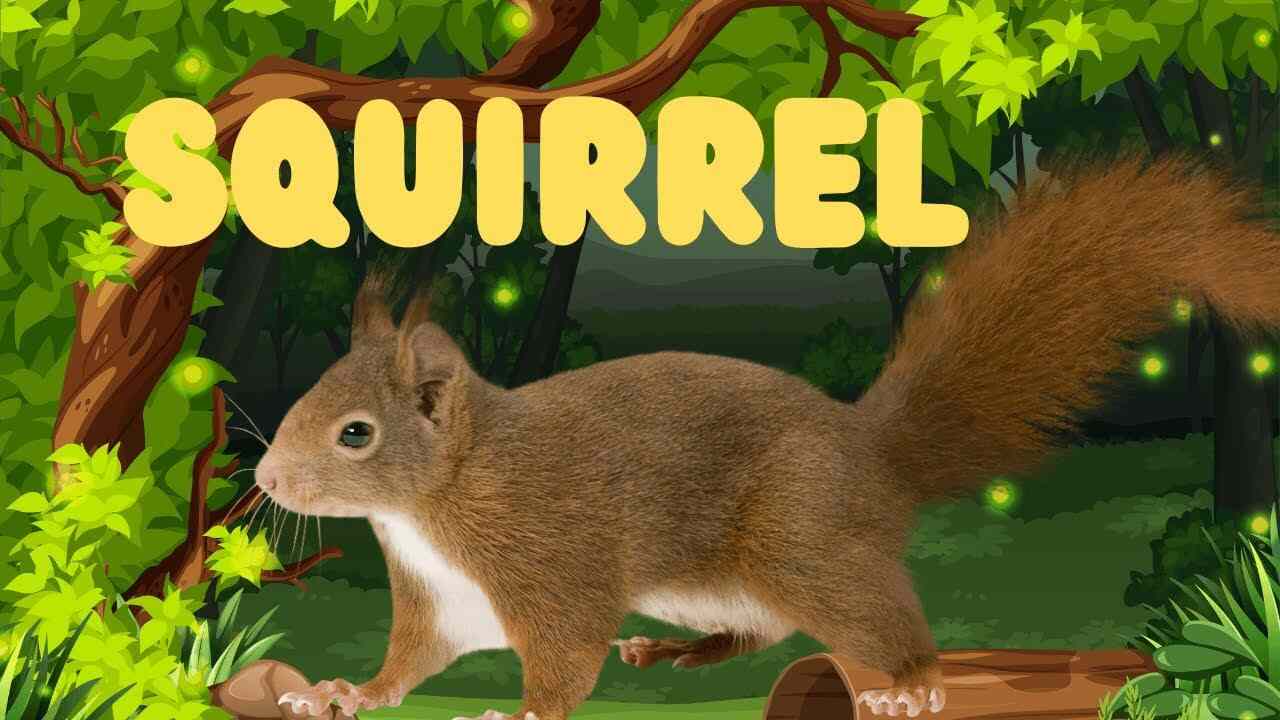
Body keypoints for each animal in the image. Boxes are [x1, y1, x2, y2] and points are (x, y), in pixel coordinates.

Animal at [258, 154, 1280, 720]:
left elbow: (566, 654)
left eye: (356, 434)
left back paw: (912, 682)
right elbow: (412, 663)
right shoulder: (440, 598)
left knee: (878, 617)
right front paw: (346, 693)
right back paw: (675, 654)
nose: (266, 480)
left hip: (803, 540)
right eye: (308, 396)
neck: (435, 507)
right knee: (761, 629)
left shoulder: (553, 558)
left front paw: (521, 714)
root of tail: (872, 455)